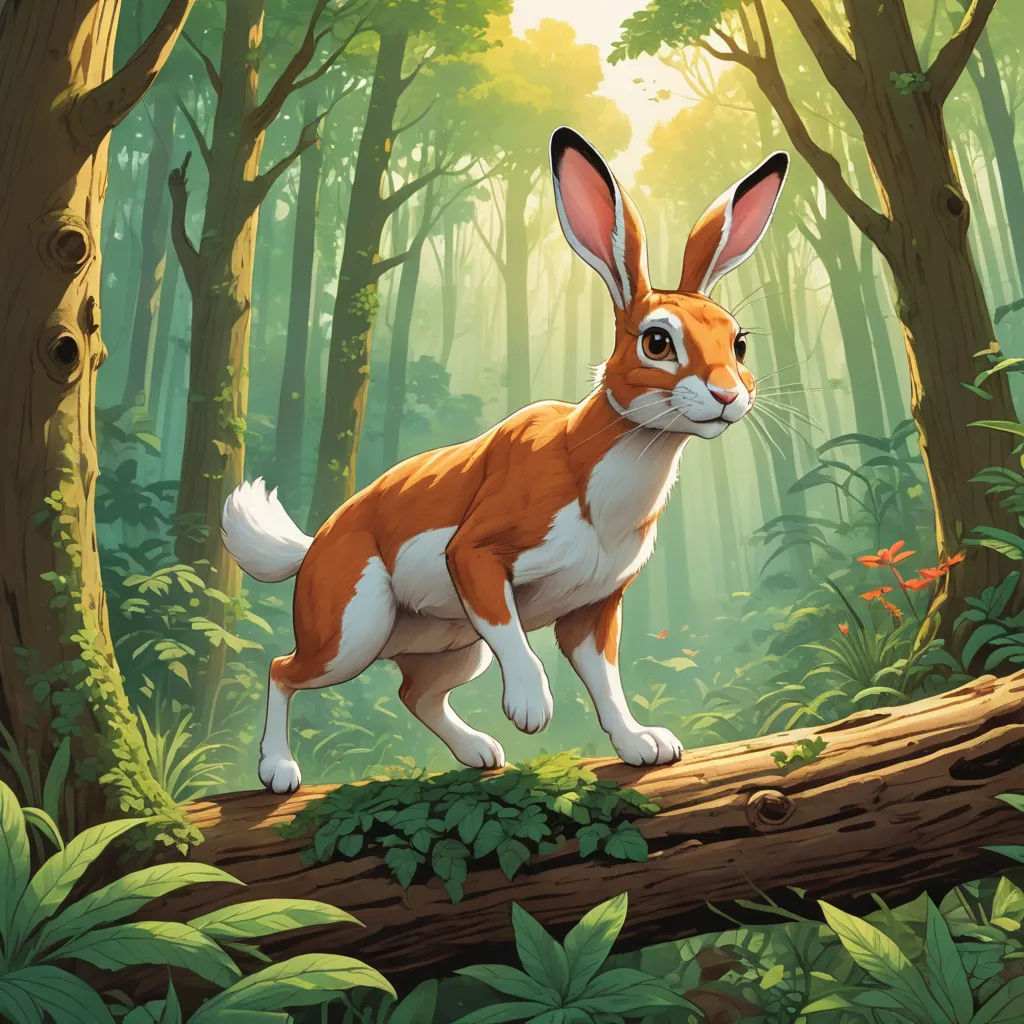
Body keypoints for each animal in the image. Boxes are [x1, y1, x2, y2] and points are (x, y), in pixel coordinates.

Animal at [222, 126, 789, 793]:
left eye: (738, 342)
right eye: (657, 341)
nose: (728, 396)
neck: (589, 480)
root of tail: (312, 548)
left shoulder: (593, 608)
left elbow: (607, 683)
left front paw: (643, 746)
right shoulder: (474, 555)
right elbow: (516, 638)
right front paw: (530, 709)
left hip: (451, 645)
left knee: (414, 694)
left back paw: (479, 753)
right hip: (353, 632)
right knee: (282, 668)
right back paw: (280, 771)